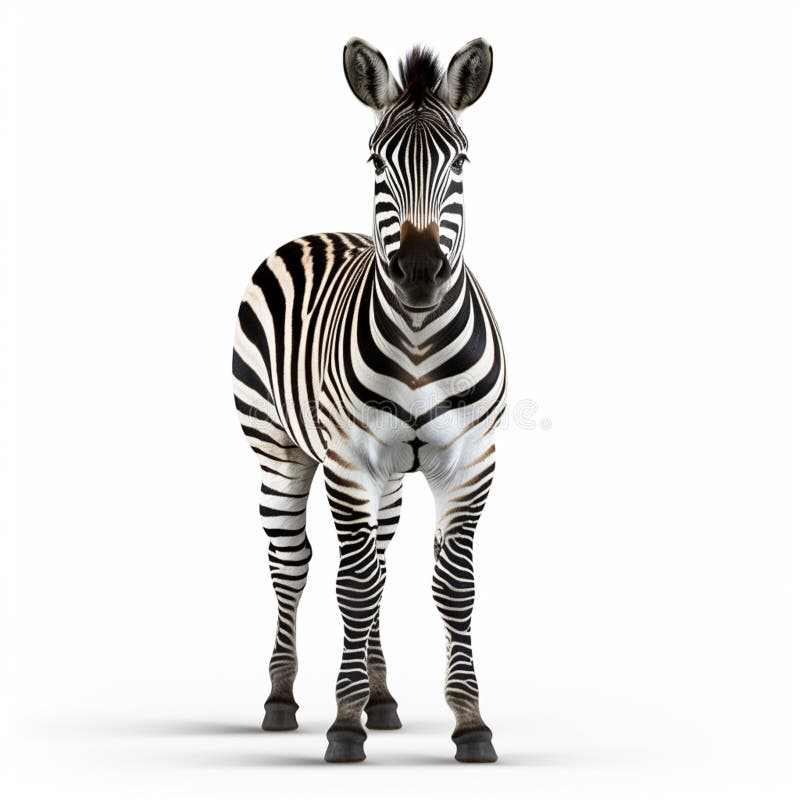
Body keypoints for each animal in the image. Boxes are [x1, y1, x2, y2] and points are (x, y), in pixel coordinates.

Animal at [232, 37, 505, 763]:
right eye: (378, 161)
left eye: (460, 161)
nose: (418, 273)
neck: (415, 337)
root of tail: (317, 231)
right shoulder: (350, 462)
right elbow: (352, 587)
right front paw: (343, 726)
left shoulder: (471, 461)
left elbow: (453, 588)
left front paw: (470, 724)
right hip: (279, 450)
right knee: (292, 564)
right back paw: (281, 699)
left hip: (388, 478)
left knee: (377, 563)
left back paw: (380, 699)